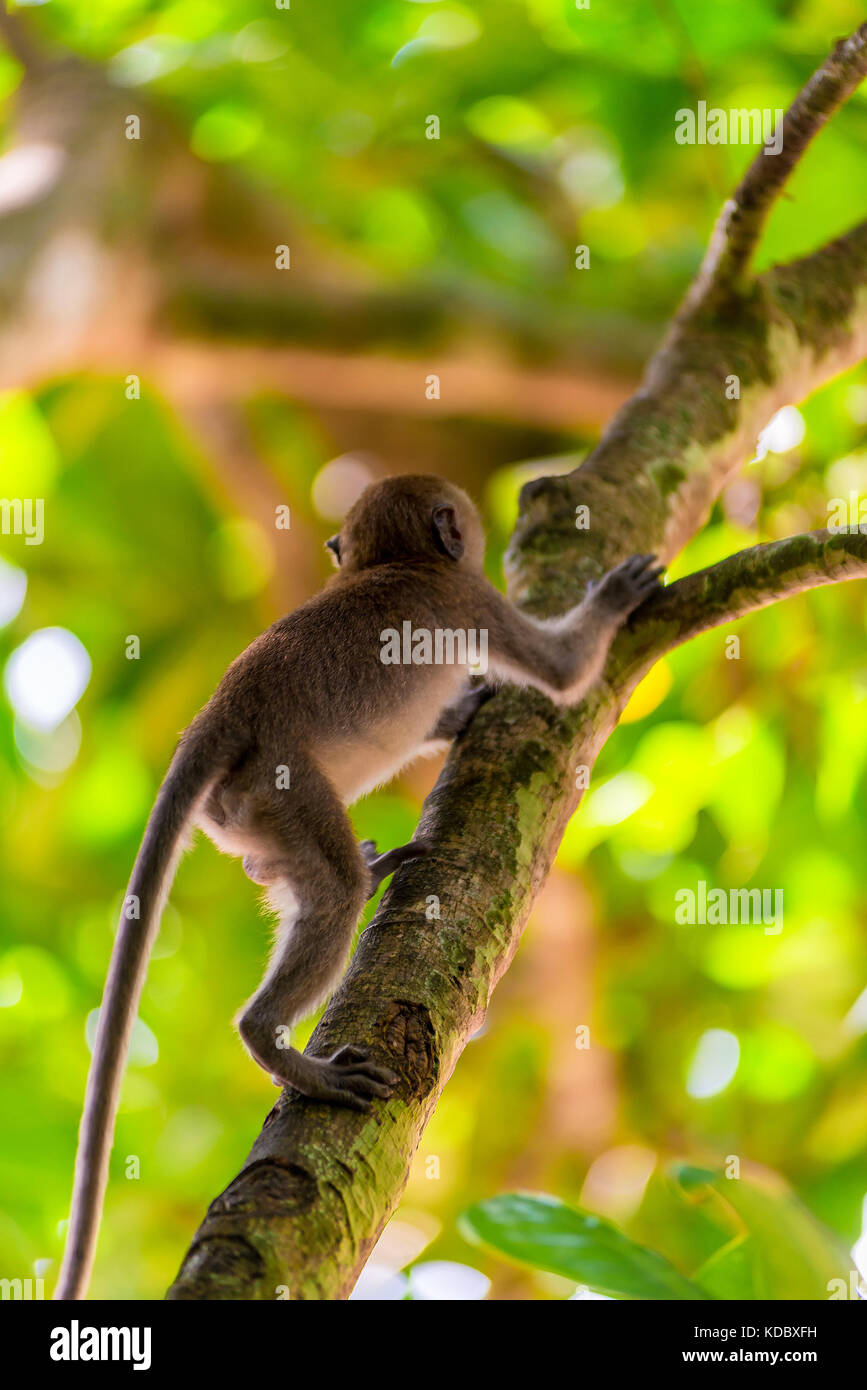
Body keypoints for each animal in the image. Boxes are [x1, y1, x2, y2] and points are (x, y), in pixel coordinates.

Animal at [54, 473, 663, 1299]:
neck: (391, 560)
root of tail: (220, 712)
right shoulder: (466, 594)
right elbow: (564, 671)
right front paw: (613, 598)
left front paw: (458, 711)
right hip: (283, 788)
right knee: (333, 893)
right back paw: (279, 1041)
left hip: (246, 813)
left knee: (288, 874)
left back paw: (342, 874)